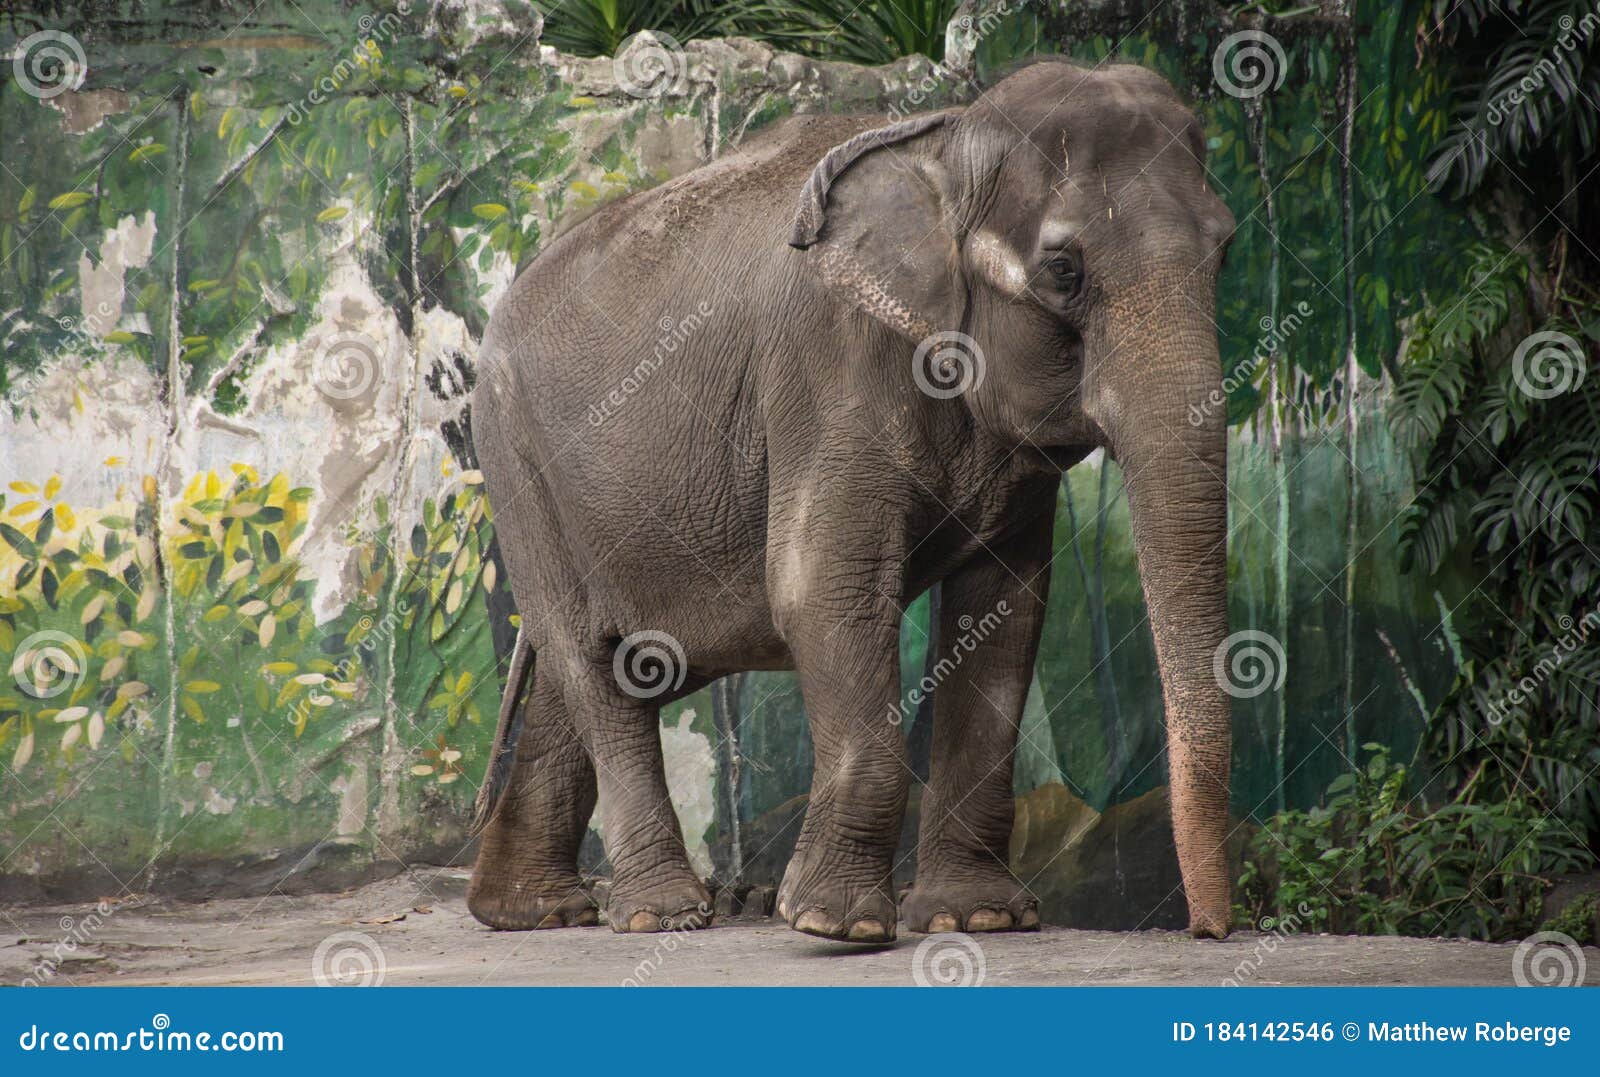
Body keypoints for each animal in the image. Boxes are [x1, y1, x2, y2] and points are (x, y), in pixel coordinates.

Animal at [465, 58, 1237, 943]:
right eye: (1063, 271)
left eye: (1225, 250)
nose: (1208, 929)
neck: (943, 143)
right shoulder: (826, 368)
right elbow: (822, 590)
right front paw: (837, 926)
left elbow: (1005, 607)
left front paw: (977, 917)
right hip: (516, 465)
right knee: (589, 657)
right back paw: (662, 915)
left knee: (604, 667)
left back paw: (530, 909)